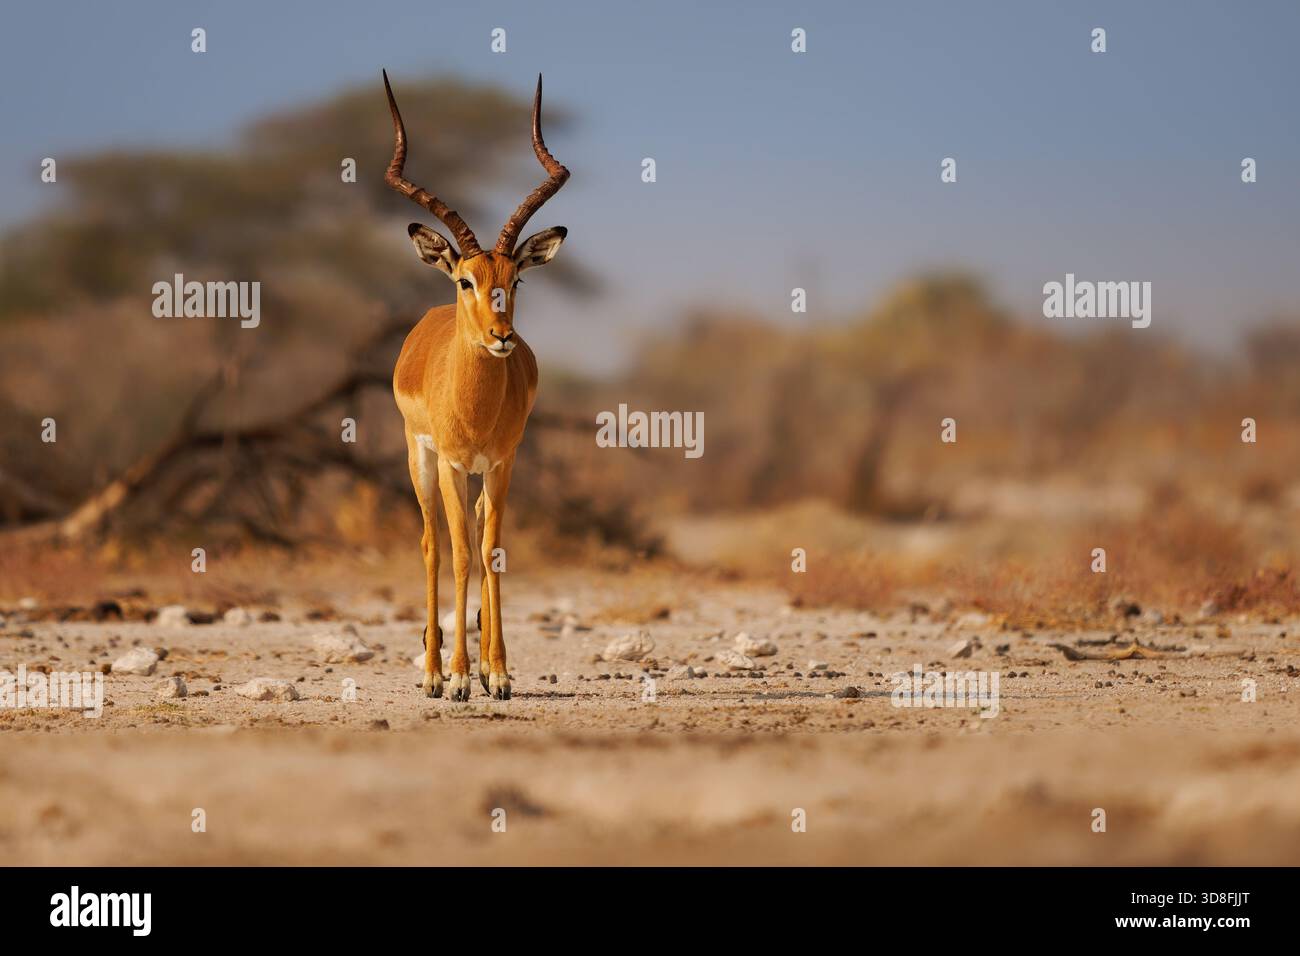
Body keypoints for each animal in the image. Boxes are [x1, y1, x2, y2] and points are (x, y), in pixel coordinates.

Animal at [384, 70, 569, 701]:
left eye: (516, 279)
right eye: (466, 279)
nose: (501, 336)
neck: (476, 405)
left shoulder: (503, 461)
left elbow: (491, 551)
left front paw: (499, 673)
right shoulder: (450, 463)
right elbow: (461, 552)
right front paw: (459, 678)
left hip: (485, 475)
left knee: (479, 537)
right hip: (420, 461)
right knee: (432, 544)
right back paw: (434, 672)